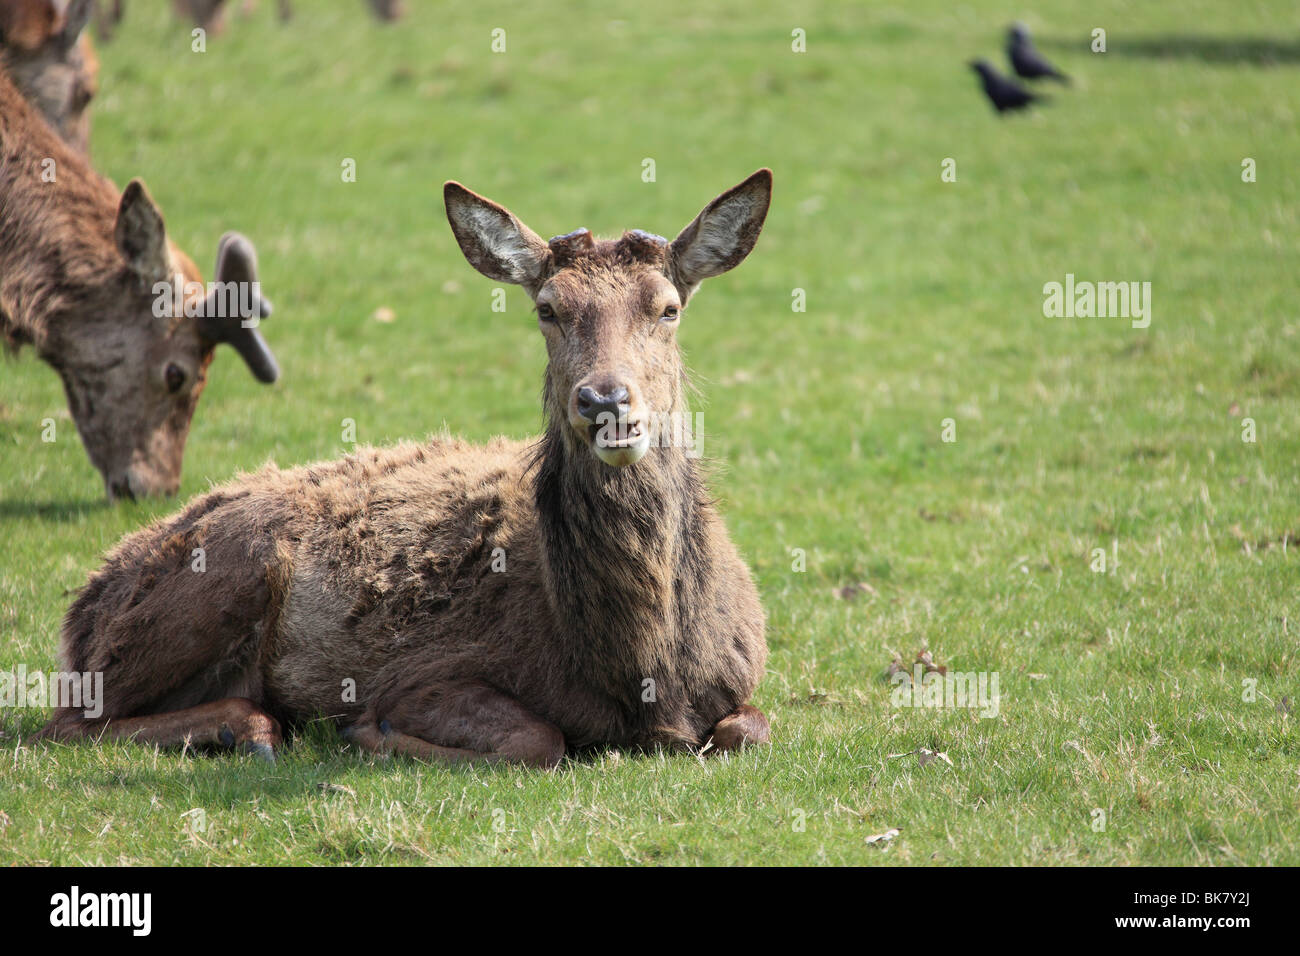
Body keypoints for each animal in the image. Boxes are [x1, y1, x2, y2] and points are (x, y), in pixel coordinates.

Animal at [38, 170, 775, 768]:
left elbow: (750, 729)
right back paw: (249, 730)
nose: (606, 402)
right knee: (66, 724)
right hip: (213, 582)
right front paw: (370, 733)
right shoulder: (432, 667)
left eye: (668, 308)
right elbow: (539, 739)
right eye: (548, 308)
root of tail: (85, 609)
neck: (644, 675)